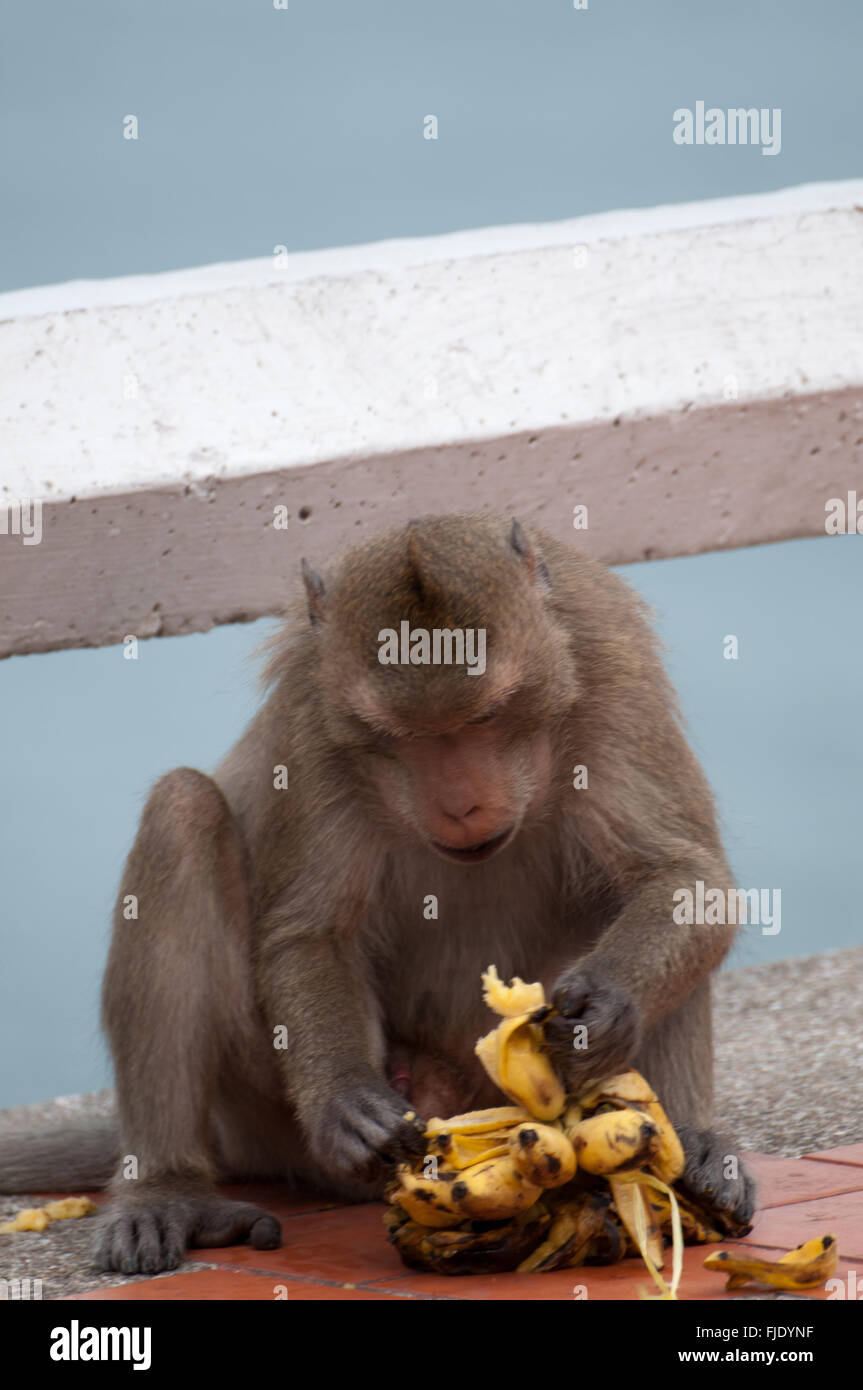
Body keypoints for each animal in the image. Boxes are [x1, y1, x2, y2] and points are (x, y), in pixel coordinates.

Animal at [0, 514, 755, 1274]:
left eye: (486, 716)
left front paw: (604, 1005)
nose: (461, 804)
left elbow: (683, 876)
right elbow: (312, 932)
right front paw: (345, 1099)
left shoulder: (609, 668)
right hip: (267, 1111)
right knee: (182, 810)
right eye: (401, 736)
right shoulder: (316, 713)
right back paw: (166, 1189)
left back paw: (691, 1152)